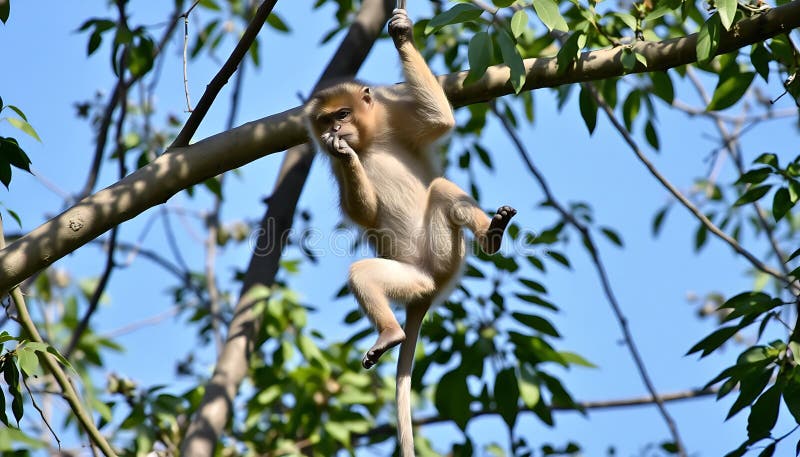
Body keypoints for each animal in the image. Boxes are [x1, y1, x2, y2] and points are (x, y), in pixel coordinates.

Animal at [305, 8, 516, 456]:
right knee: (366, 274)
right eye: (326, 119)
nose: (336, 131)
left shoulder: (395, 114)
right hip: (412, 277)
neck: (369, 140)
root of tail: (432, 290)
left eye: (342, 114)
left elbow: (439, 120)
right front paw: (345, 156)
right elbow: (363, 211)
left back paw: (492, 234)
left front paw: (402, 32)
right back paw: (391, 333)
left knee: (442, 190)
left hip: (445, 255)